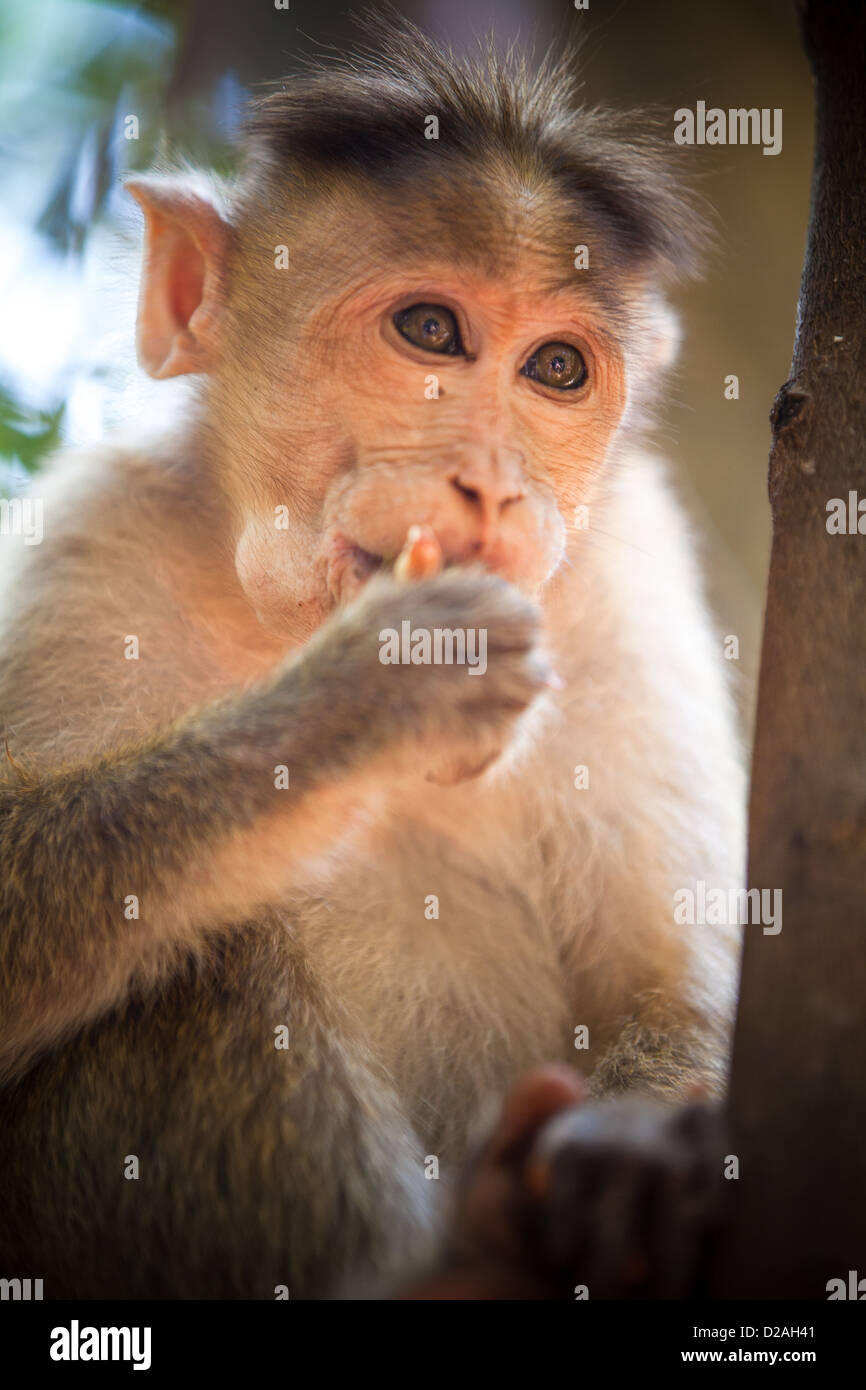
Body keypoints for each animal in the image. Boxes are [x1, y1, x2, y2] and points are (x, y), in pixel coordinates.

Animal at [0, 15, 744, 1299]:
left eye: (556, 369)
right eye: (429, 332)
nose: (491, 483)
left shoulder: (624, 579)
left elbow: (671, 970)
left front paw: (638, 1149)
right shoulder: (89, 535)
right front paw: (368, 699)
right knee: (205, 962)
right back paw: (460, 1263)